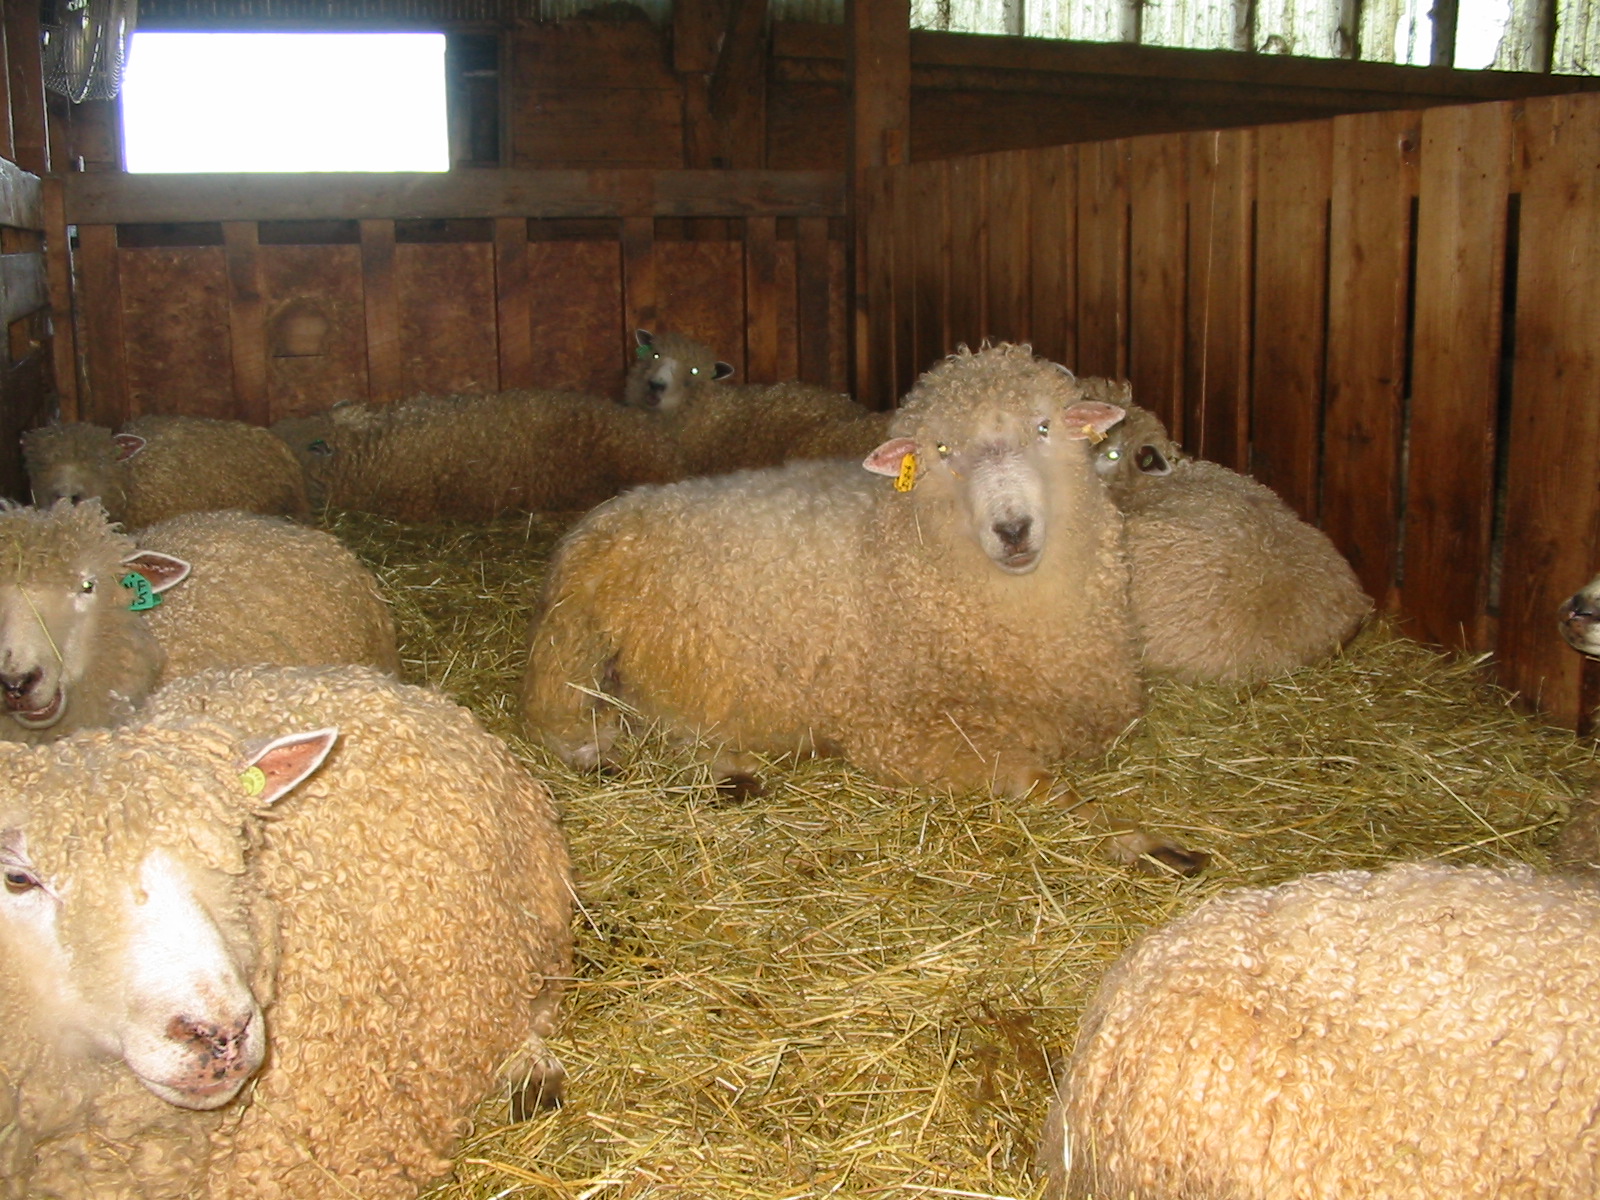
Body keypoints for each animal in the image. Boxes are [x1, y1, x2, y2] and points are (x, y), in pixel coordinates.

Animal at [524, 344, 1202, 870]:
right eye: (942, 450)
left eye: (1044, 427)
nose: (1012, 529)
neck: (904, 546)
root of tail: (602, 518)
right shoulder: (905, 734)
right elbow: (1045, 785)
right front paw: (1145, 841)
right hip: (571, 645)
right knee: (559, 721)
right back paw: (609, 753)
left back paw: (731, 767)